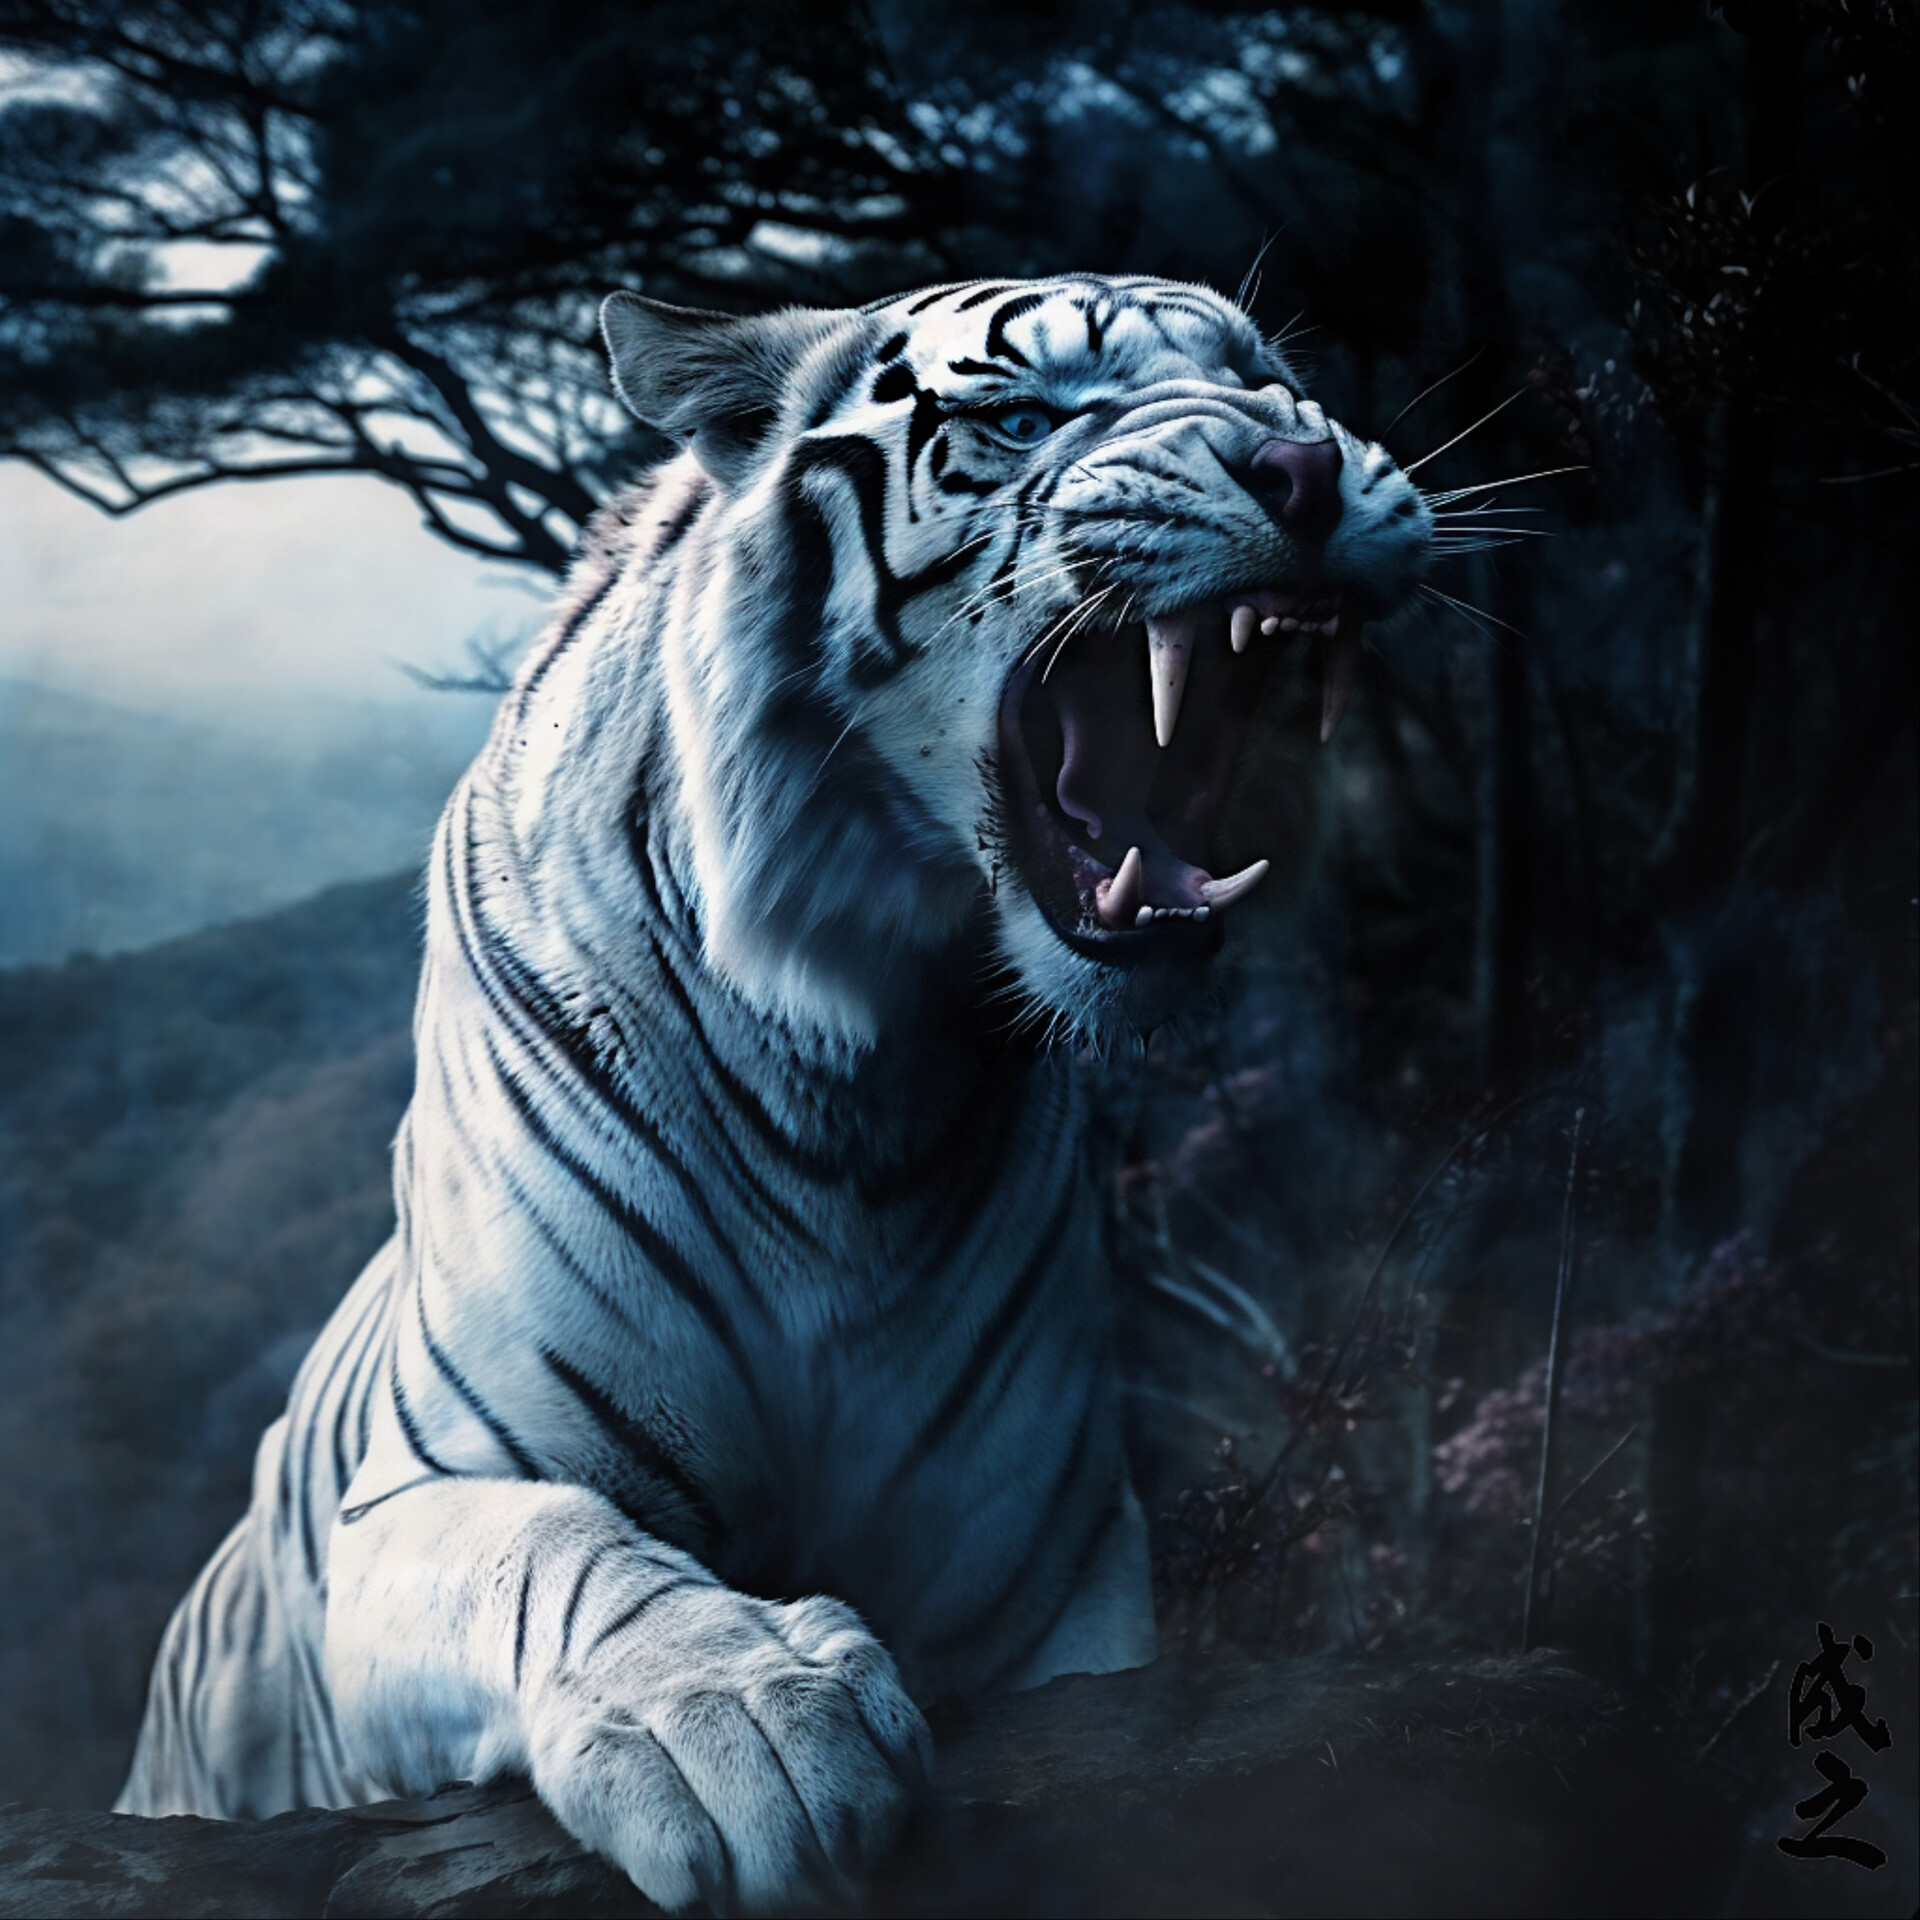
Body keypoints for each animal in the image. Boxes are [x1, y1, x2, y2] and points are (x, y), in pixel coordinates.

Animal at [117, 274, 1431, 1911]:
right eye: (1021, 418)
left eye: (1269, 378)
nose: (1305, 467)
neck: (859, 1075)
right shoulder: (427, 1494)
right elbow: (561, 1552)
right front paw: (741, 1720)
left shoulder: (1050, 1564)